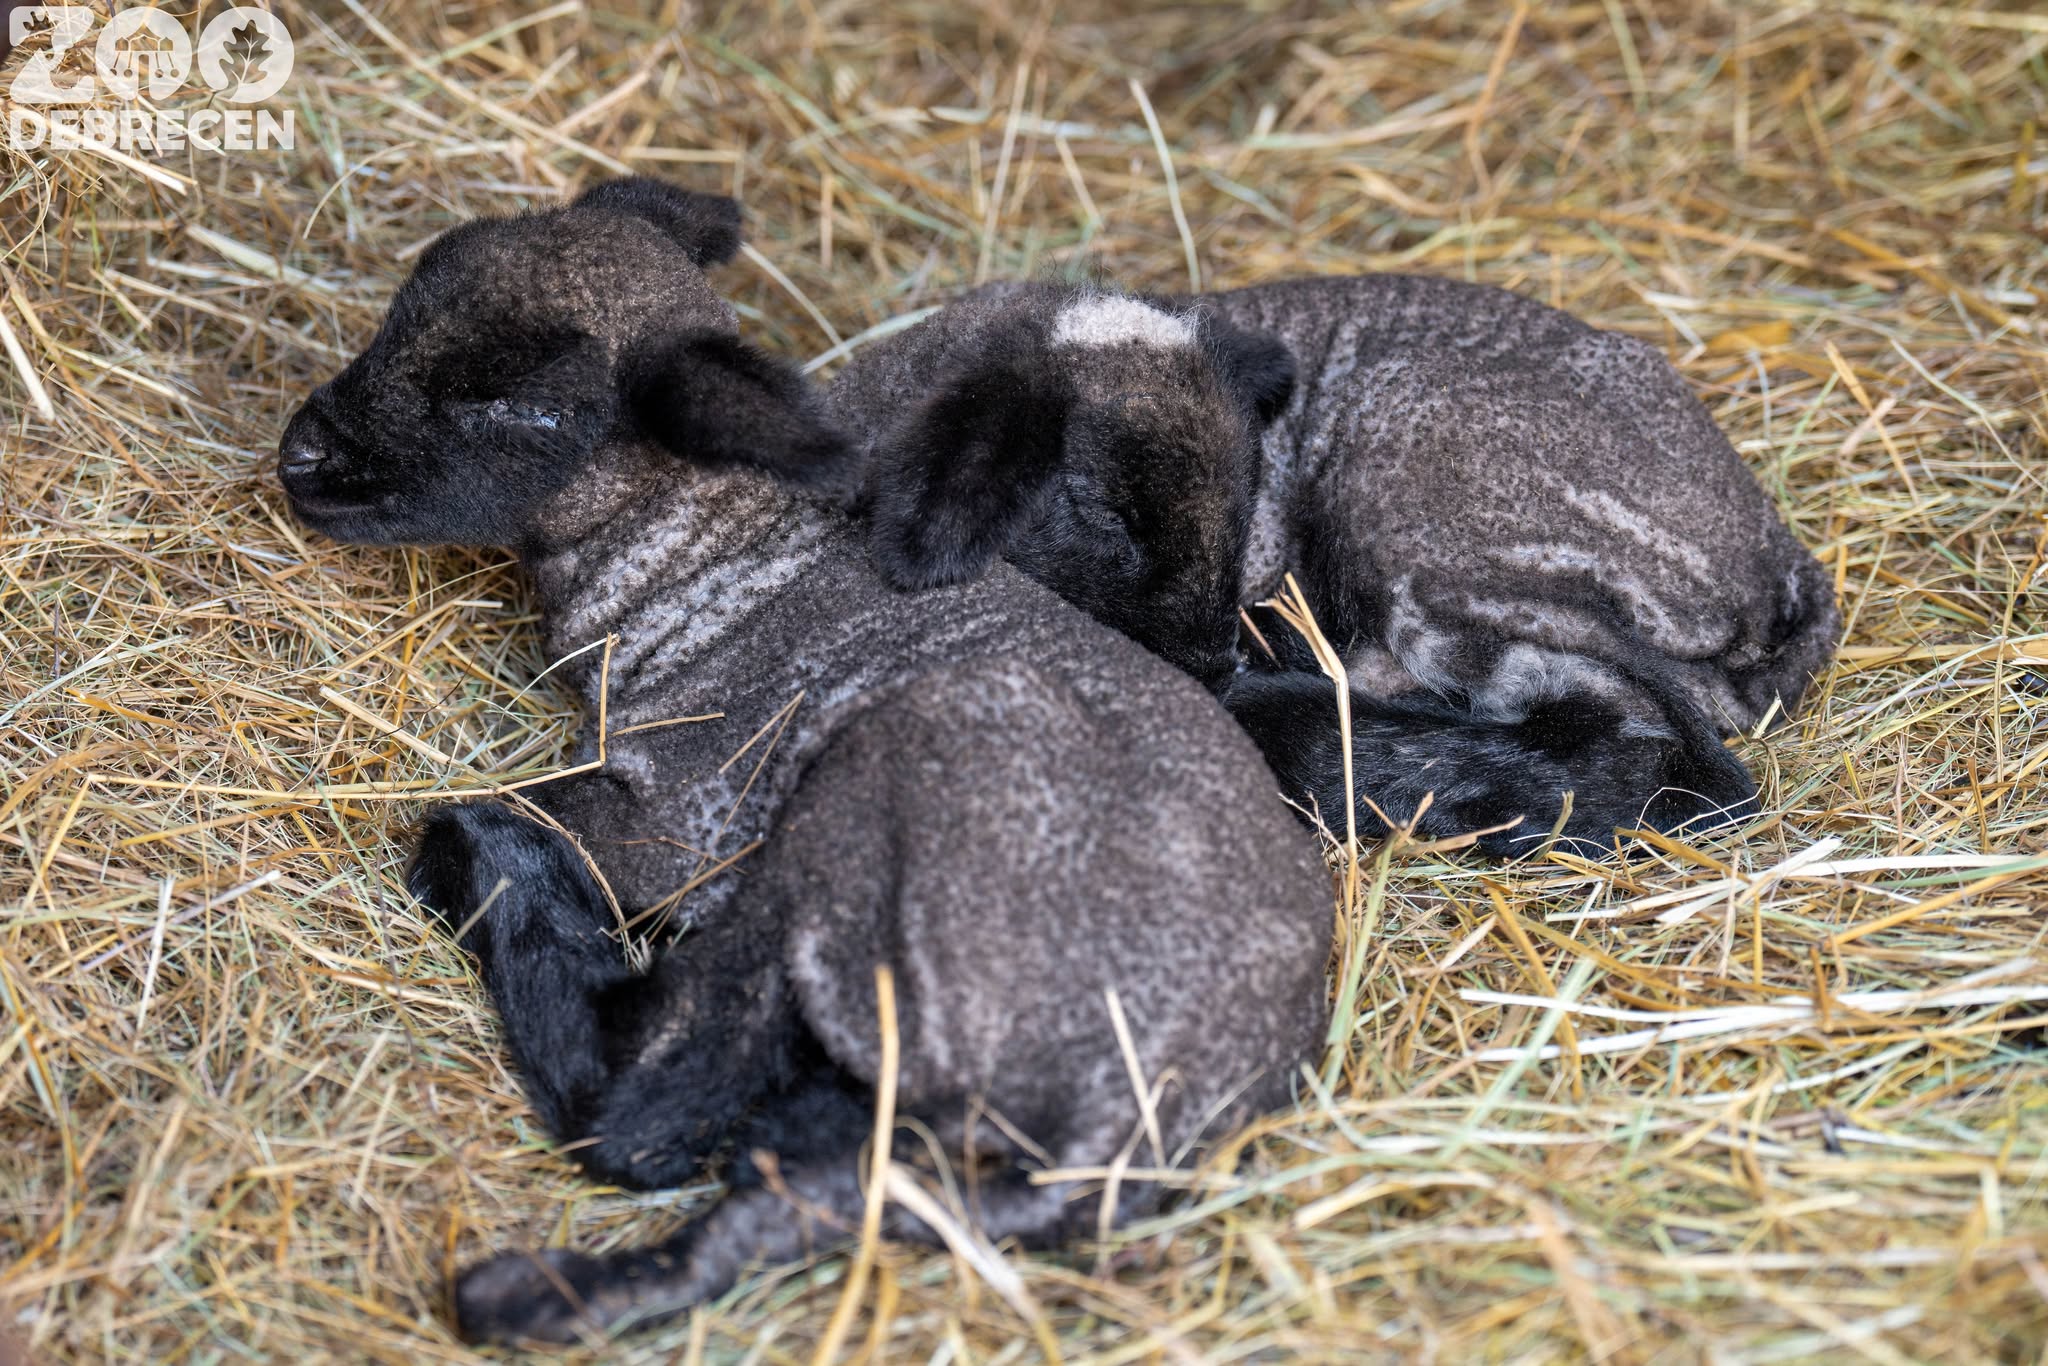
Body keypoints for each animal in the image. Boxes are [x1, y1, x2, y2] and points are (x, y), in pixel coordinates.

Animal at [275, 177, 1332, 1345]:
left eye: (523, 406)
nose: (301, 458)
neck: (696, 556)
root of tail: (1126, 1125)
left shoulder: (684, 819)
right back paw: (536, 1291)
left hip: (860, 817)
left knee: (647, 1109)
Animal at [828, 276, 1832, 855]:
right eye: (1100, 509)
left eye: (1247, 496)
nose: (1209, 669)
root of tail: (1781, 570)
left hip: (1436, 507)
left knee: (1639, 715)